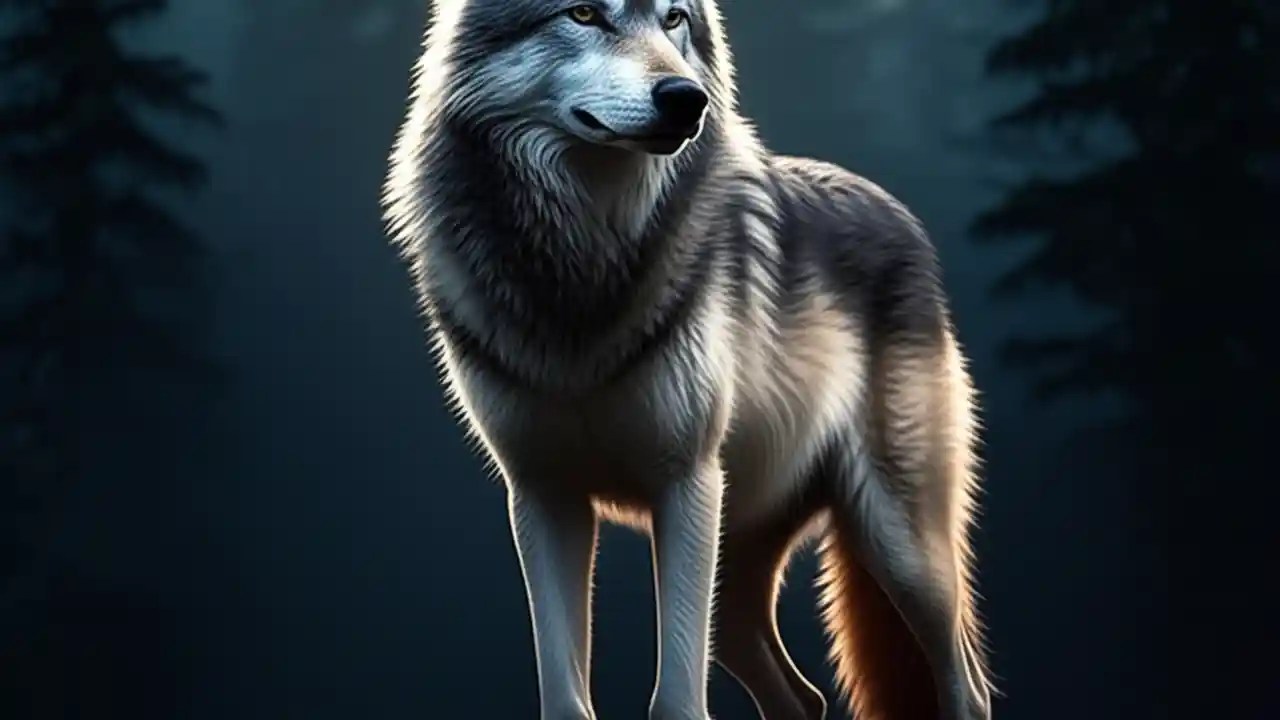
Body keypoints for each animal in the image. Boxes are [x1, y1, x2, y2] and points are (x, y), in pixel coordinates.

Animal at [383, 0, 994, 718]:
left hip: (897, 547)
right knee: (805, 697)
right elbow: (565, 696)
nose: (685, 98)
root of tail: (895, 209)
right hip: (735, 581)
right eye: (583, 14)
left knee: (967, 687)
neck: (582, 267)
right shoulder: (543, 495)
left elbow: (675, 699)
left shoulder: (685, 480)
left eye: (674, 18)